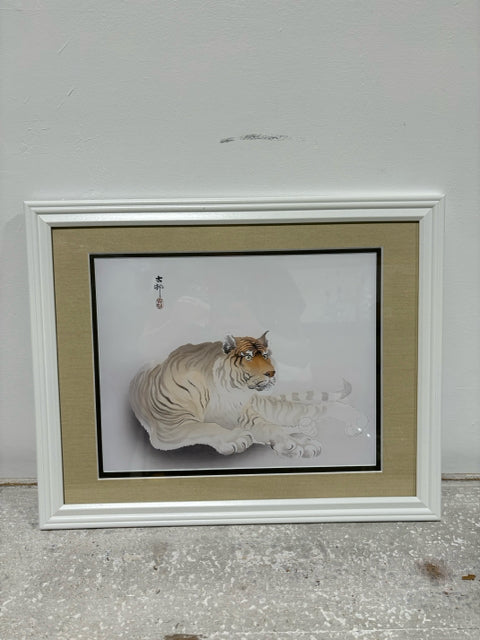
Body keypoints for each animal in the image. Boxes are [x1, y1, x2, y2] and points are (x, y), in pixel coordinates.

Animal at [129, 331, 367, 458]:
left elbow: (270, 427)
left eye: (267, 355)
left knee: (319, 408)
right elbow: (207, 426)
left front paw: (296, 443)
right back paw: (308, 431)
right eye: (249, 356)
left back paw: (352, 423)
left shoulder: (245, 416)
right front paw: (236, 439)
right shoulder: (173, 423)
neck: (226, 392)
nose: (272, 372)